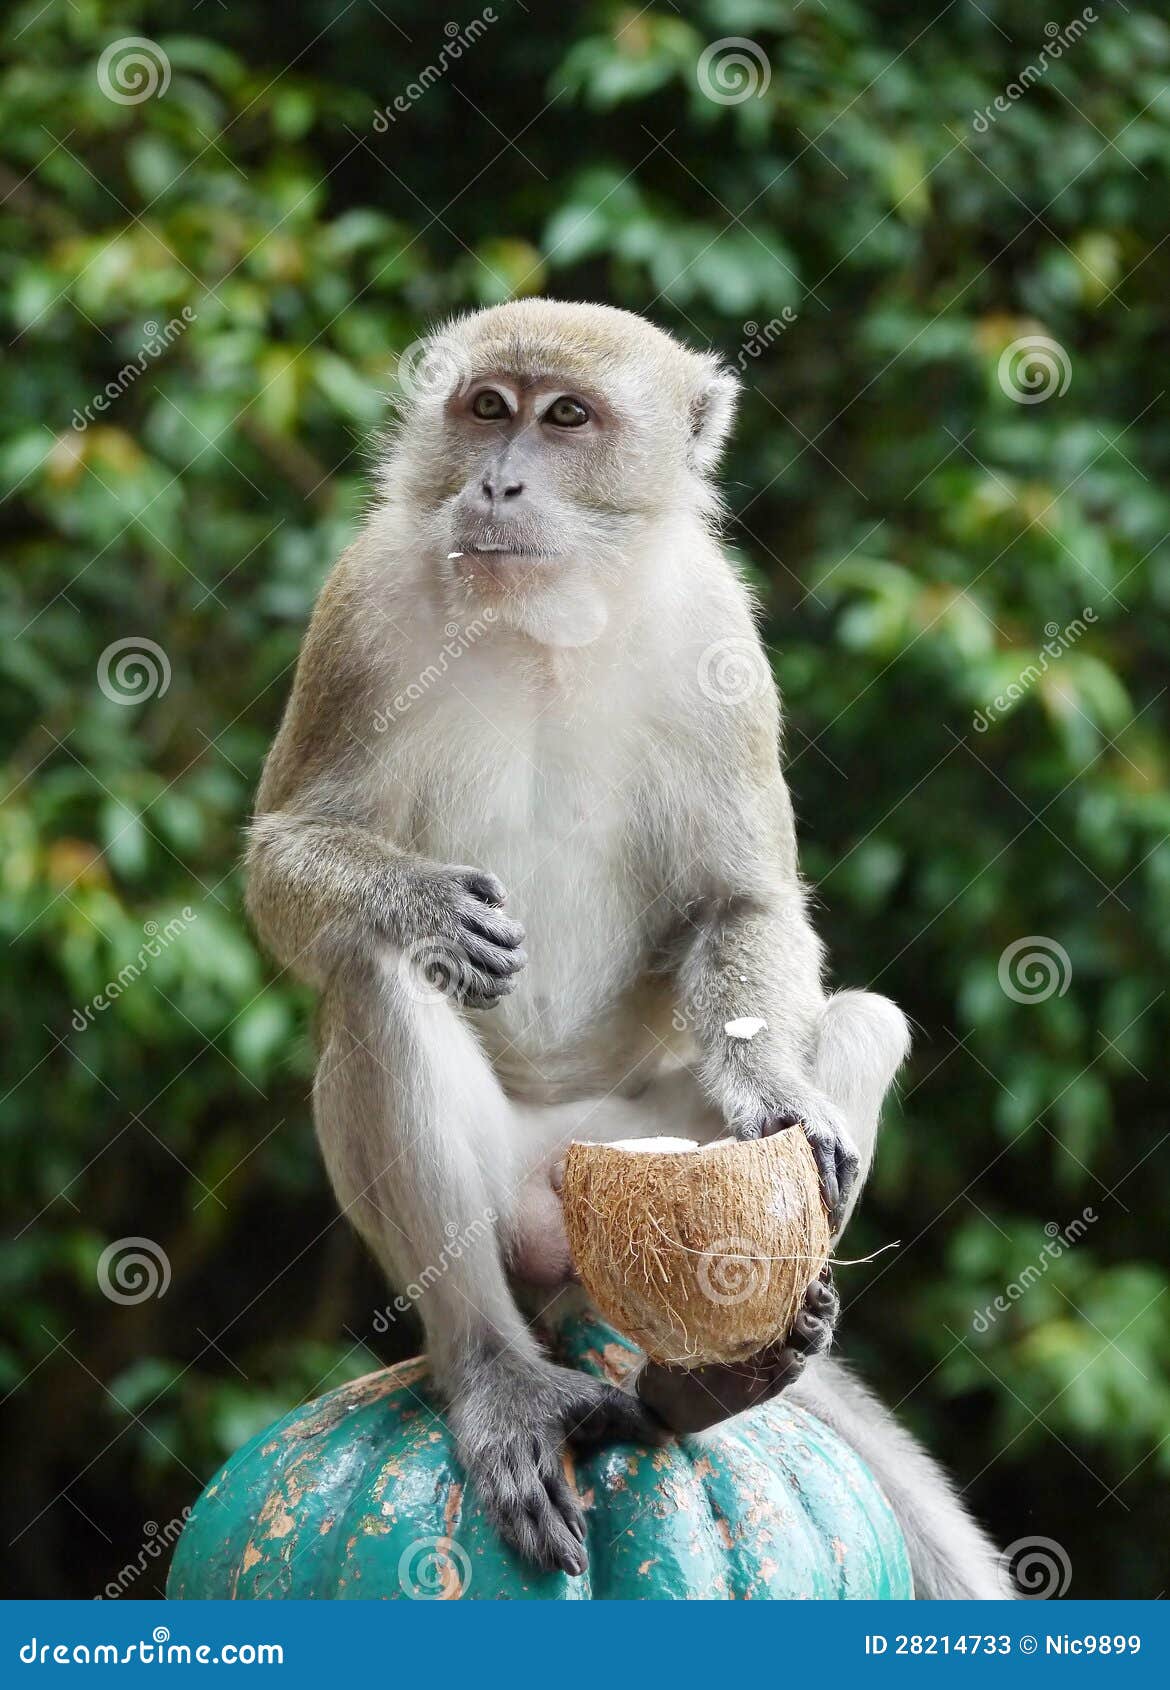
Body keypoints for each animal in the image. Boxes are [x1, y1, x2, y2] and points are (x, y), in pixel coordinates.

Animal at [245, 298, 1006, 1598]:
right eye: (486, 407)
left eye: (566, 417)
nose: (496, 482)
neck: (550, 616)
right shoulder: (364, 601)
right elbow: (285, 860)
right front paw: (418, 902)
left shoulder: (718, 629)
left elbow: (743, 905)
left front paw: (773, 1091)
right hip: (511, 1214)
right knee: (377, 983)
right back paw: (495, 1377)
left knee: (862, 1022)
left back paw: (707, 1382)